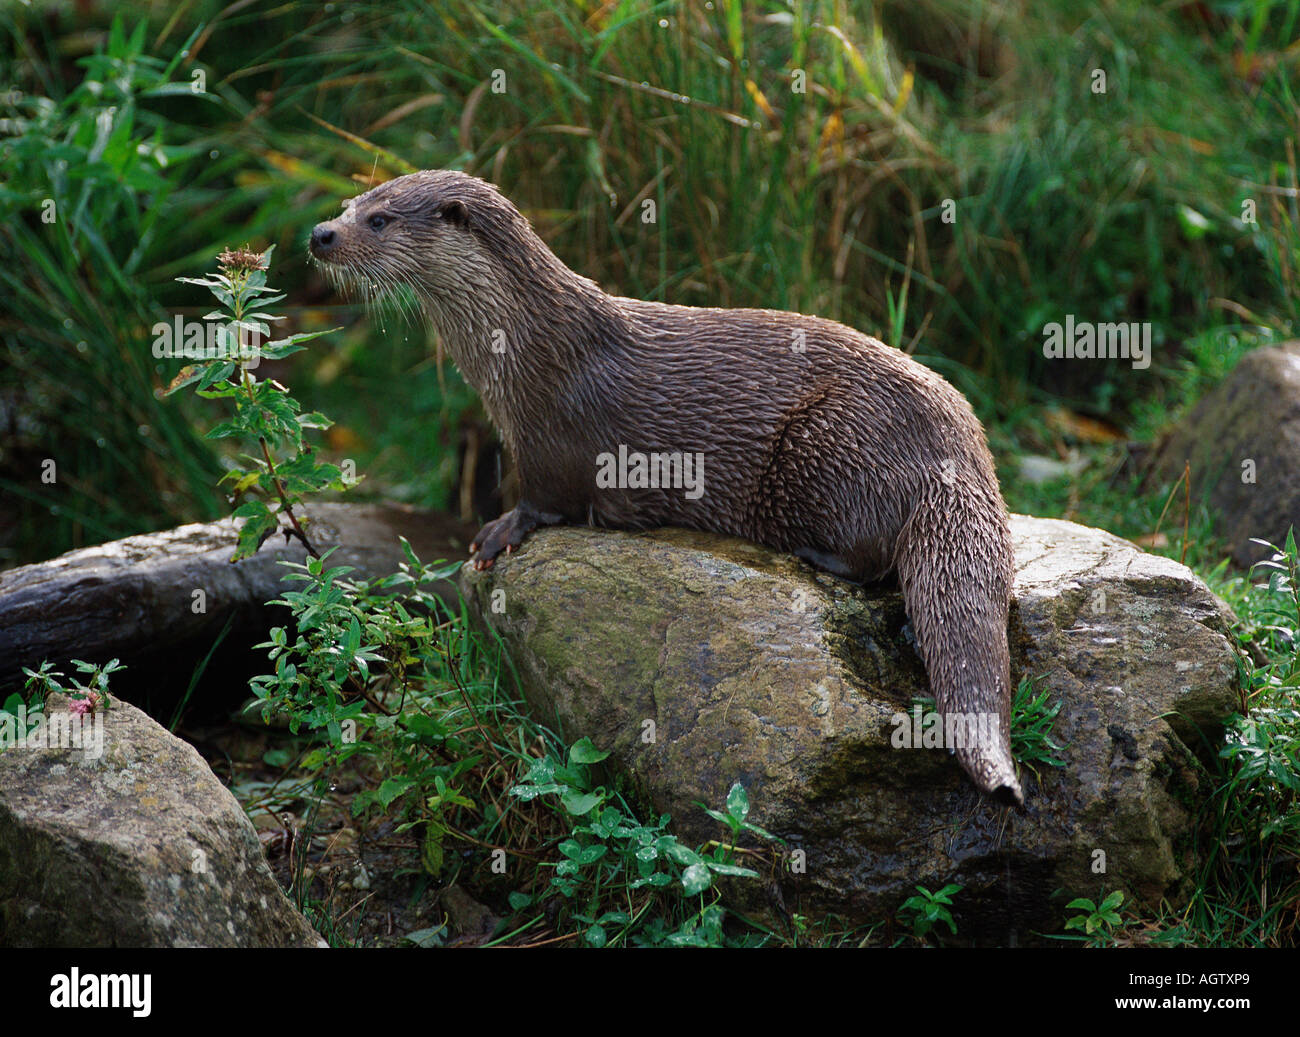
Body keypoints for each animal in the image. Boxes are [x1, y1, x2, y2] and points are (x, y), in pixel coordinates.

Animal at [310, 170, 1023, 807]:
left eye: (380, 219)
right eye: (350, 202)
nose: (320, 233)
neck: (522, 353)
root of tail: (963, 446)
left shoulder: (550, 439)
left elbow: (545, 499)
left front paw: (499, 533)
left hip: (832, 442)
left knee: (872, 555)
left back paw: (810, 553)